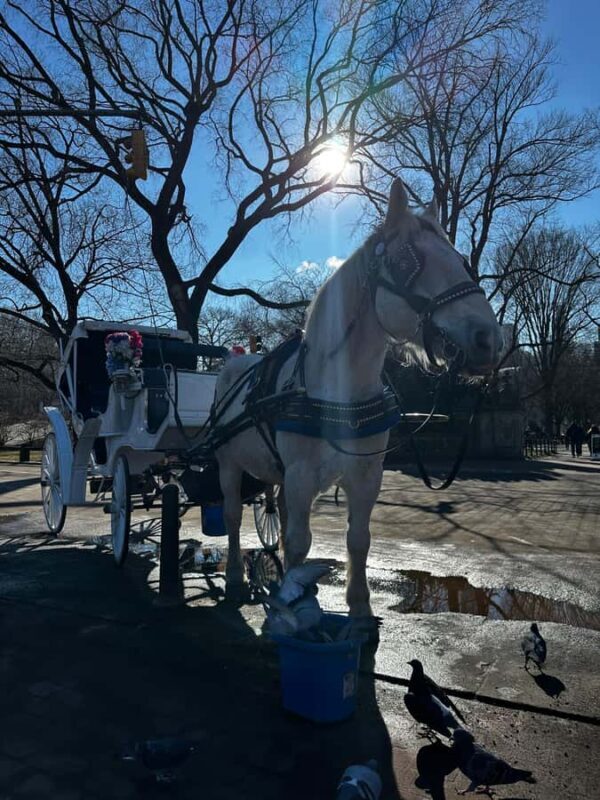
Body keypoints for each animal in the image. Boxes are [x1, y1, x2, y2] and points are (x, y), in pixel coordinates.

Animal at [214, 178, 503, 620]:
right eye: (409, 262)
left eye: (459, 260)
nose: (490, 340)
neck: (336, 393)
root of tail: (235, 361)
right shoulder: (301, 476)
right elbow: (300, 542)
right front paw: (297, 603)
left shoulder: (366, 477)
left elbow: (358, 539)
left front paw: (360, 606)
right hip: (228, 464)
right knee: (231, 516)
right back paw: (232, 576)